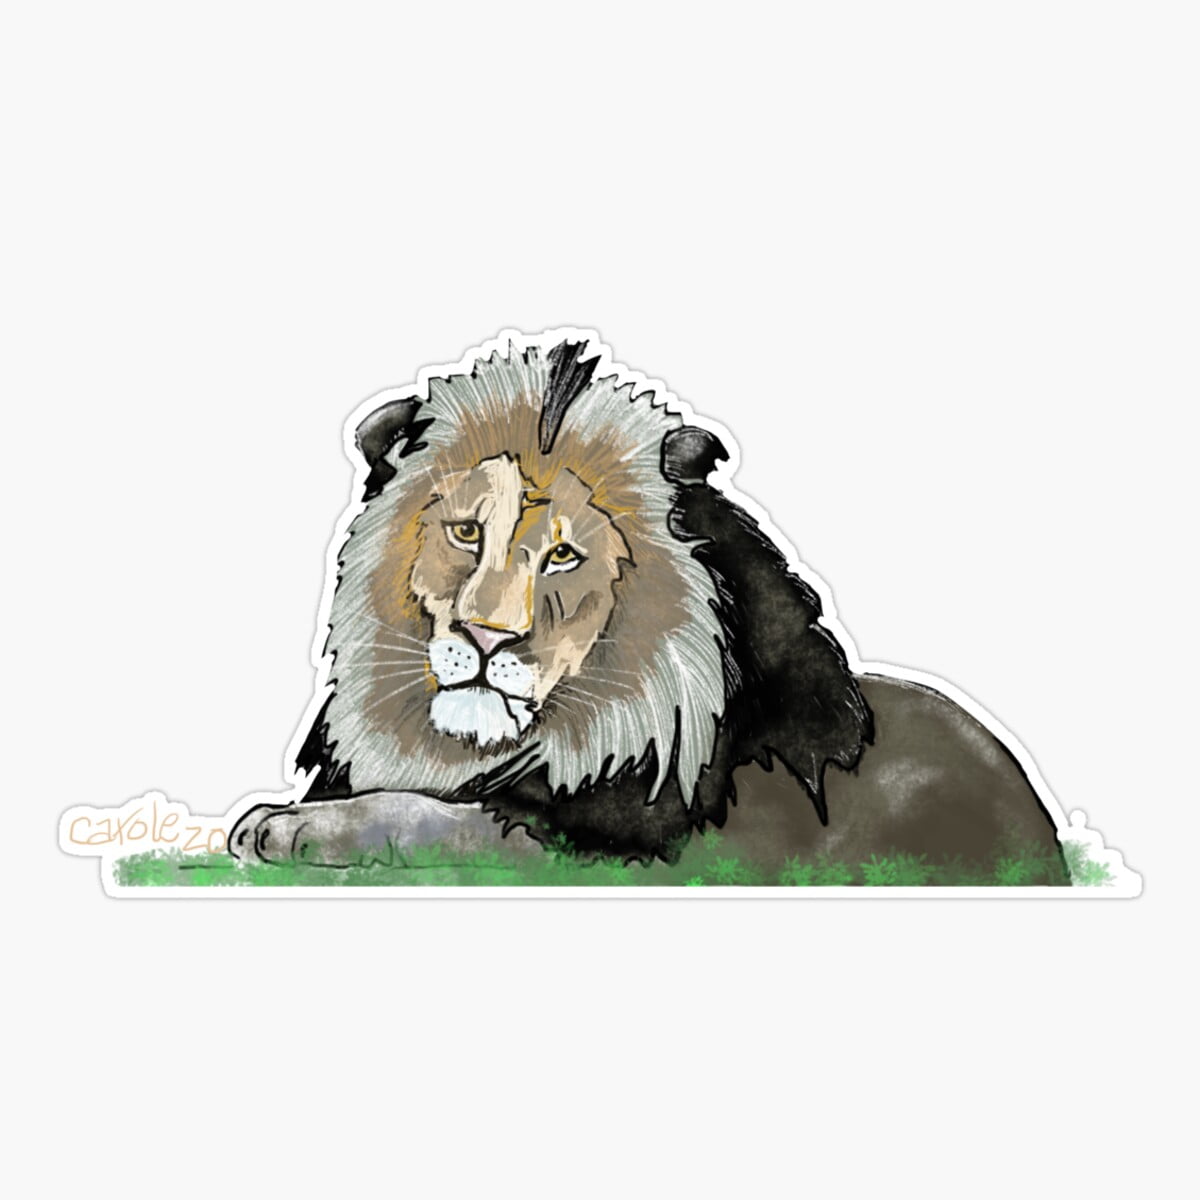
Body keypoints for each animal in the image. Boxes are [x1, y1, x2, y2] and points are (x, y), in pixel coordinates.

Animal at [229, 331, 1070, 884]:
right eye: (468, 533)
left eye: (564, 555)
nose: (487, 636)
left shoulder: (640, 851)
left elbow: (443, 818)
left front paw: (287, 825)